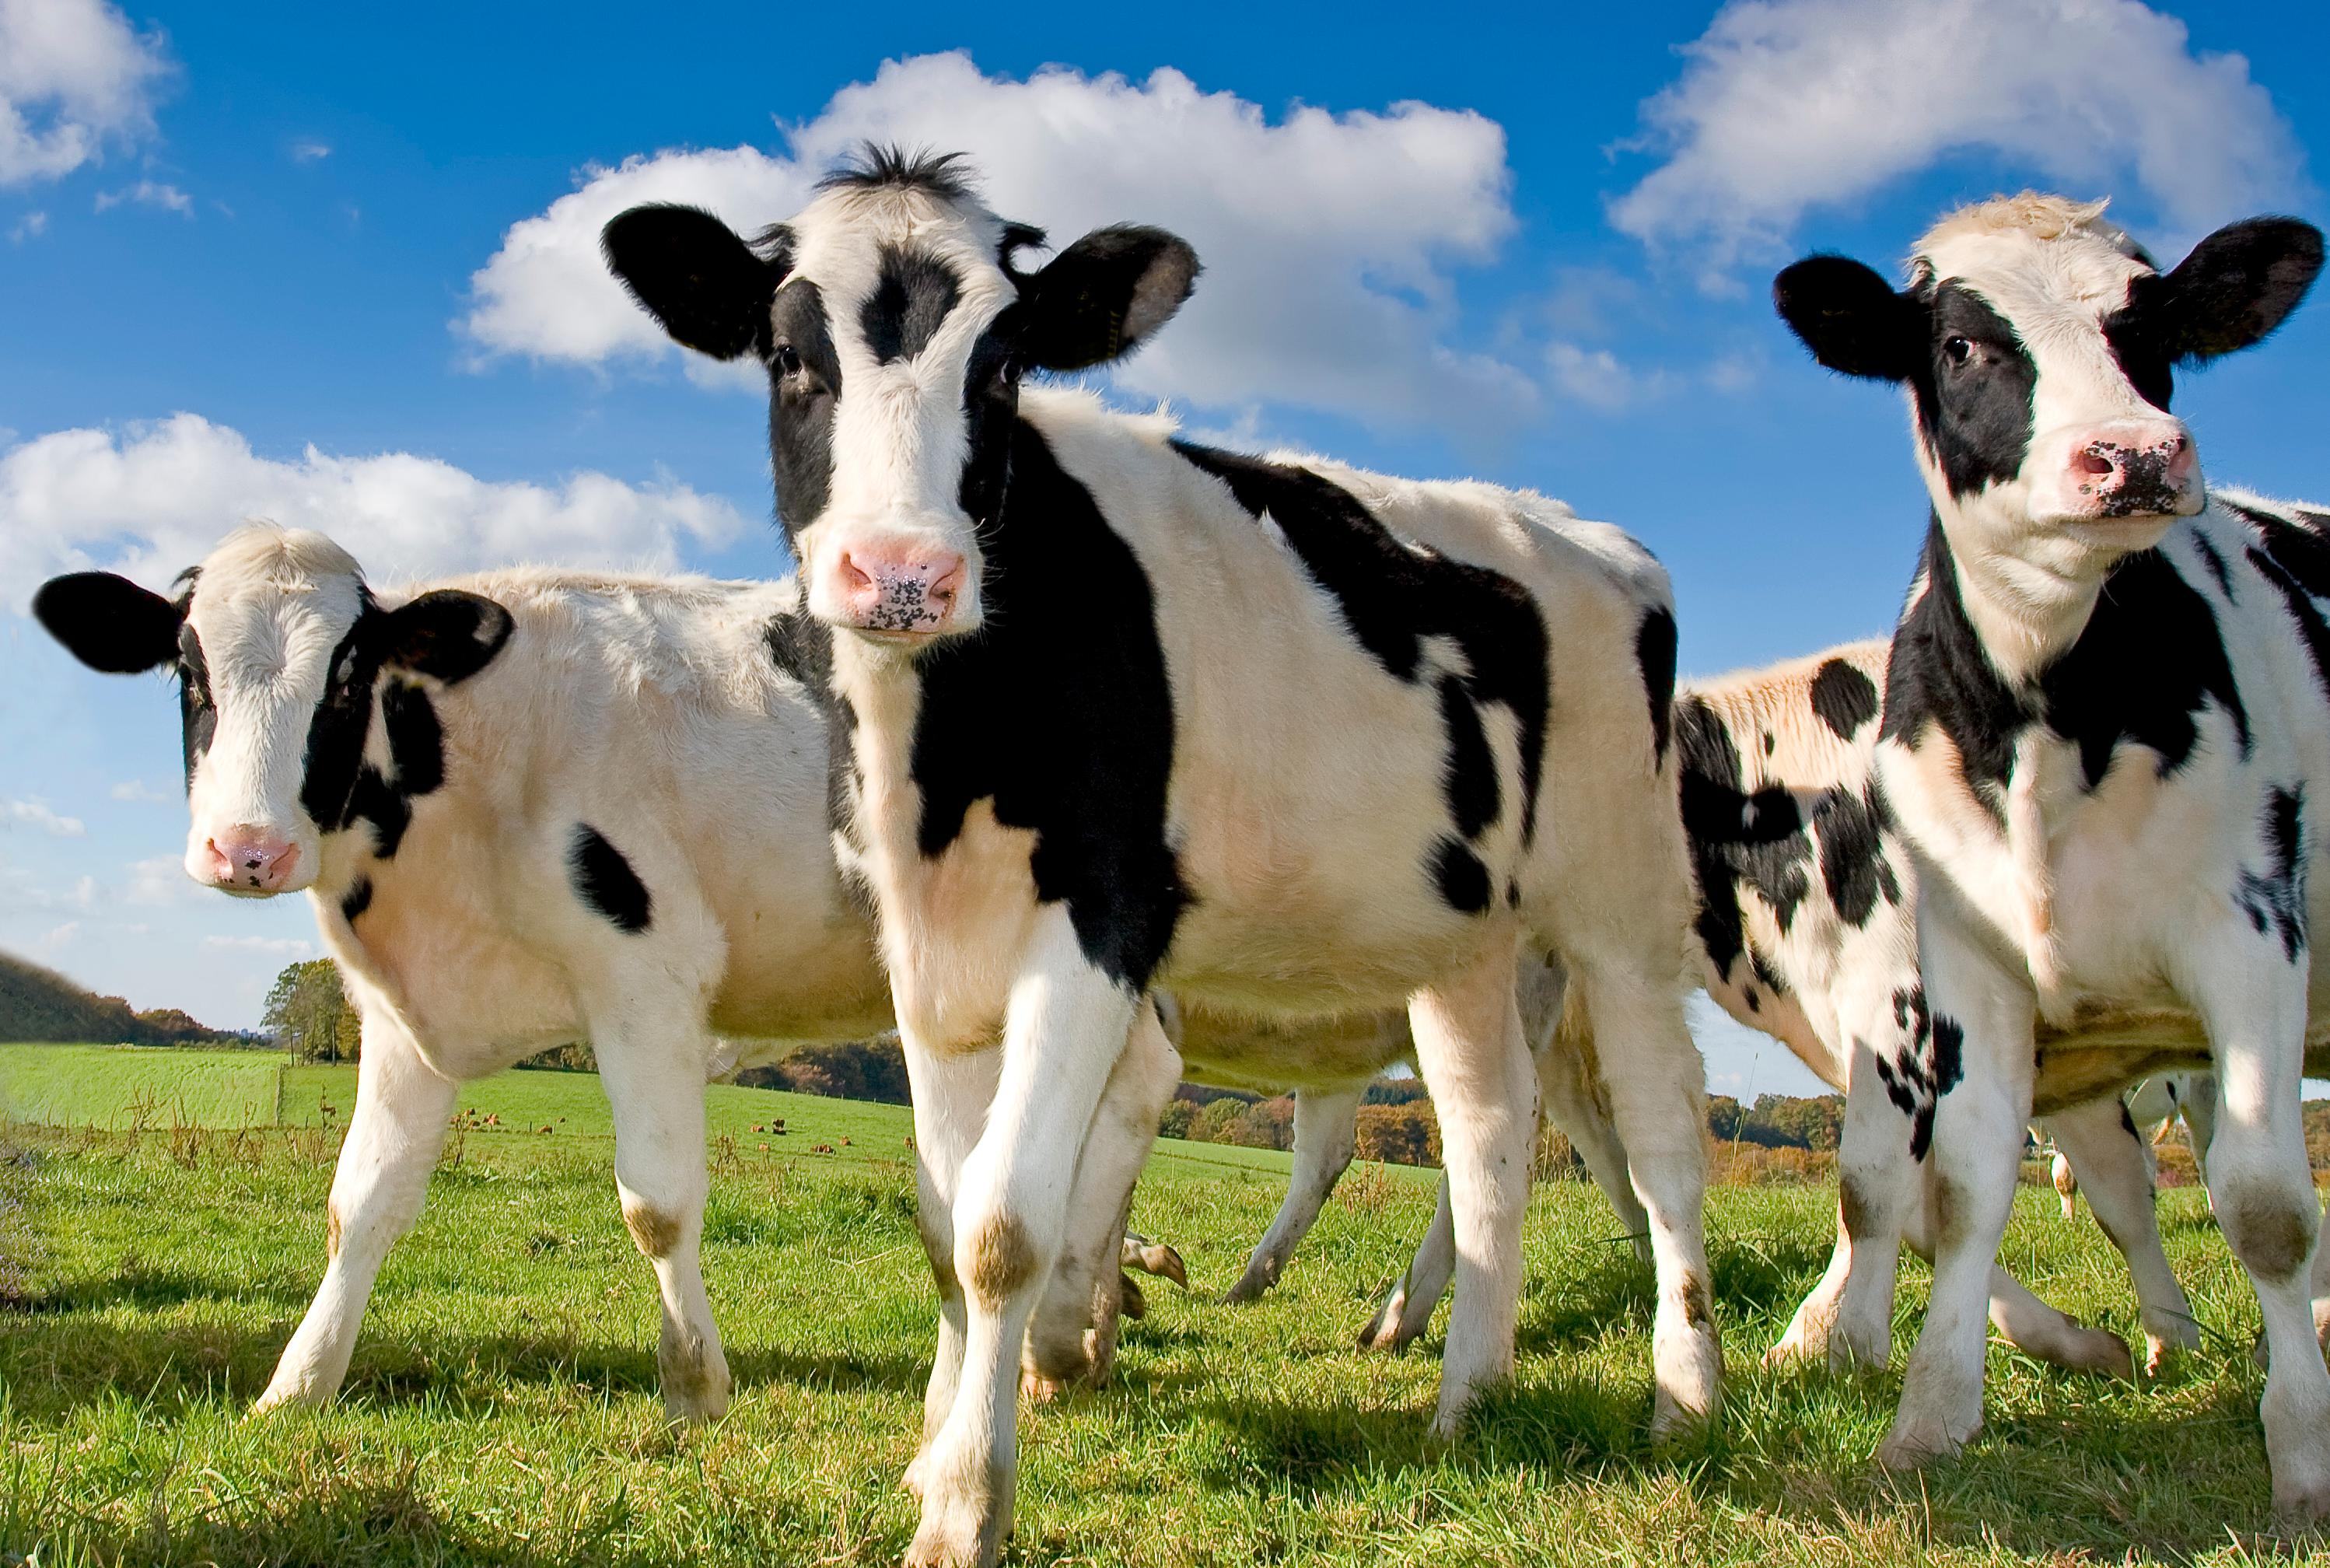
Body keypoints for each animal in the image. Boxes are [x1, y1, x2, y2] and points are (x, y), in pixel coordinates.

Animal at [601, 147, 1720, 1567]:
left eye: (1005, 369)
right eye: (791, 358)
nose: (903, 574)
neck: (951, 750)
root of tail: (1591, 536)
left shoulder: (1101, 923)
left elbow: (1003, 1229)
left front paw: (965, 1505)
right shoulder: (922, 943)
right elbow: (941, 1217)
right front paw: (935, 1453)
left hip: (1622, 902)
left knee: (1663, 1132)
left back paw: (1686, 1396)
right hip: (1467, 938)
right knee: (1489, 1142)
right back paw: (1467, 1394)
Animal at [1772, 192, 2330, 1515]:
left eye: (2155, 326)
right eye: (1963, 345)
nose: (2133, 455)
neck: (2039, 707)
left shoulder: (2253, 933)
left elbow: (2268, 1207)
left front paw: (2304, 1458)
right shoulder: (1968, 964)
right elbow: (1968, 1188)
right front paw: (1928, 1422)